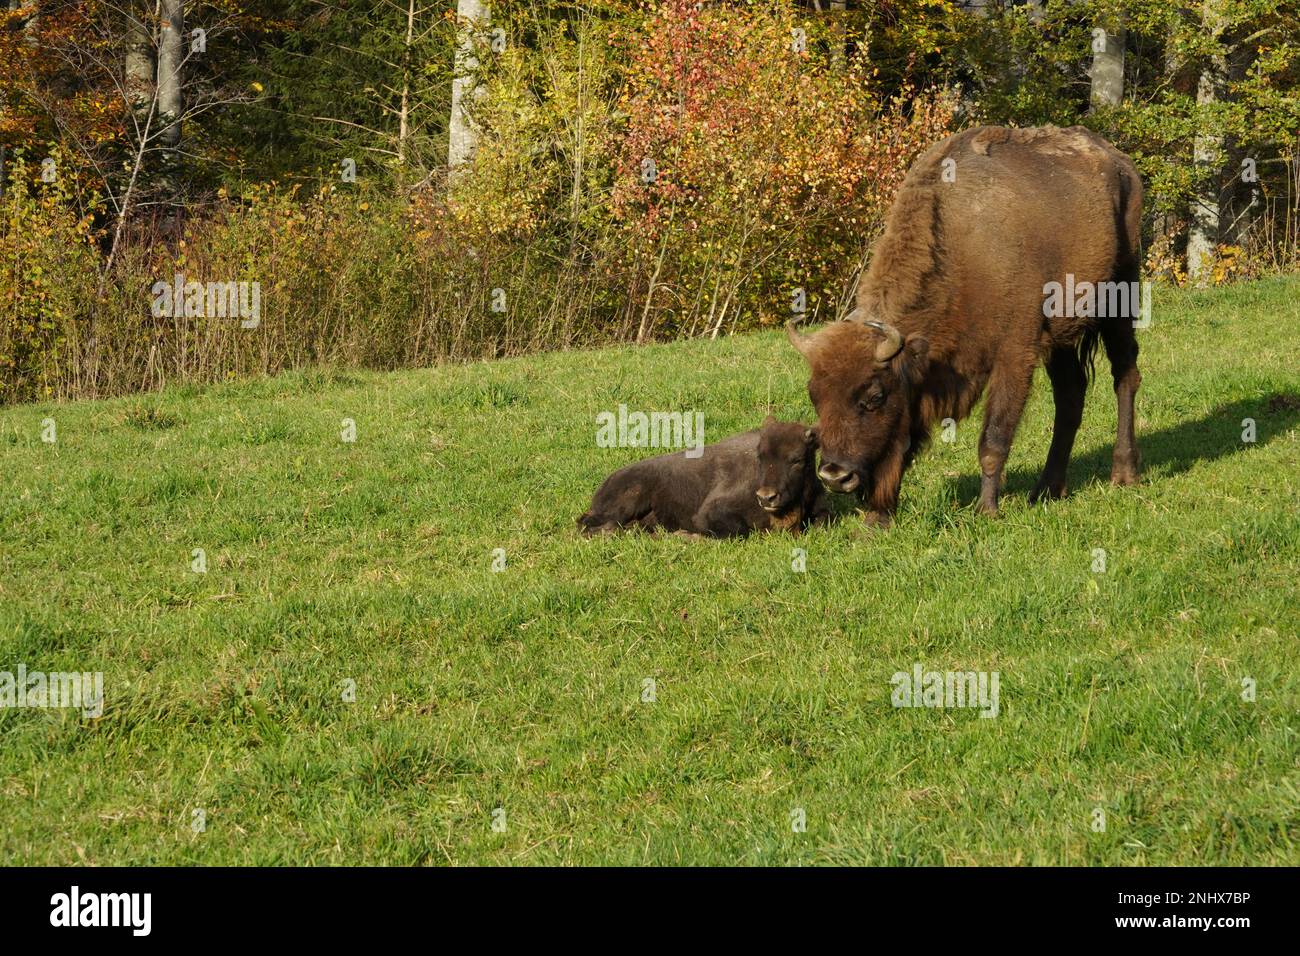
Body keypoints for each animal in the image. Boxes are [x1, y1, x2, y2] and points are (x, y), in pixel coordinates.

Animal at [578, 416, 830, 538]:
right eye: (760, 455)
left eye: (797, 459)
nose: (766, 497)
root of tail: (605, 483)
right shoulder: (709, 512)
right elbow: (738, 531)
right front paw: (682, 535)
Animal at [788, 125, 1144, 526]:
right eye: (814, 395)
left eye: (874, 397)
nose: (834, 474)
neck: (963, 250)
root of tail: (1120, 160)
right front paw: (877, 519)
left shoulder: (1015, 352)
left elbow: (994, 438)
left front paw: (986, 509)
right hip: (1063, 333)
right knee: (1071, 395)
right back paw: (1046, 490)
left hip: (1121, 296)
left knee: (1125, 376)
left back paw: (1124, 474)